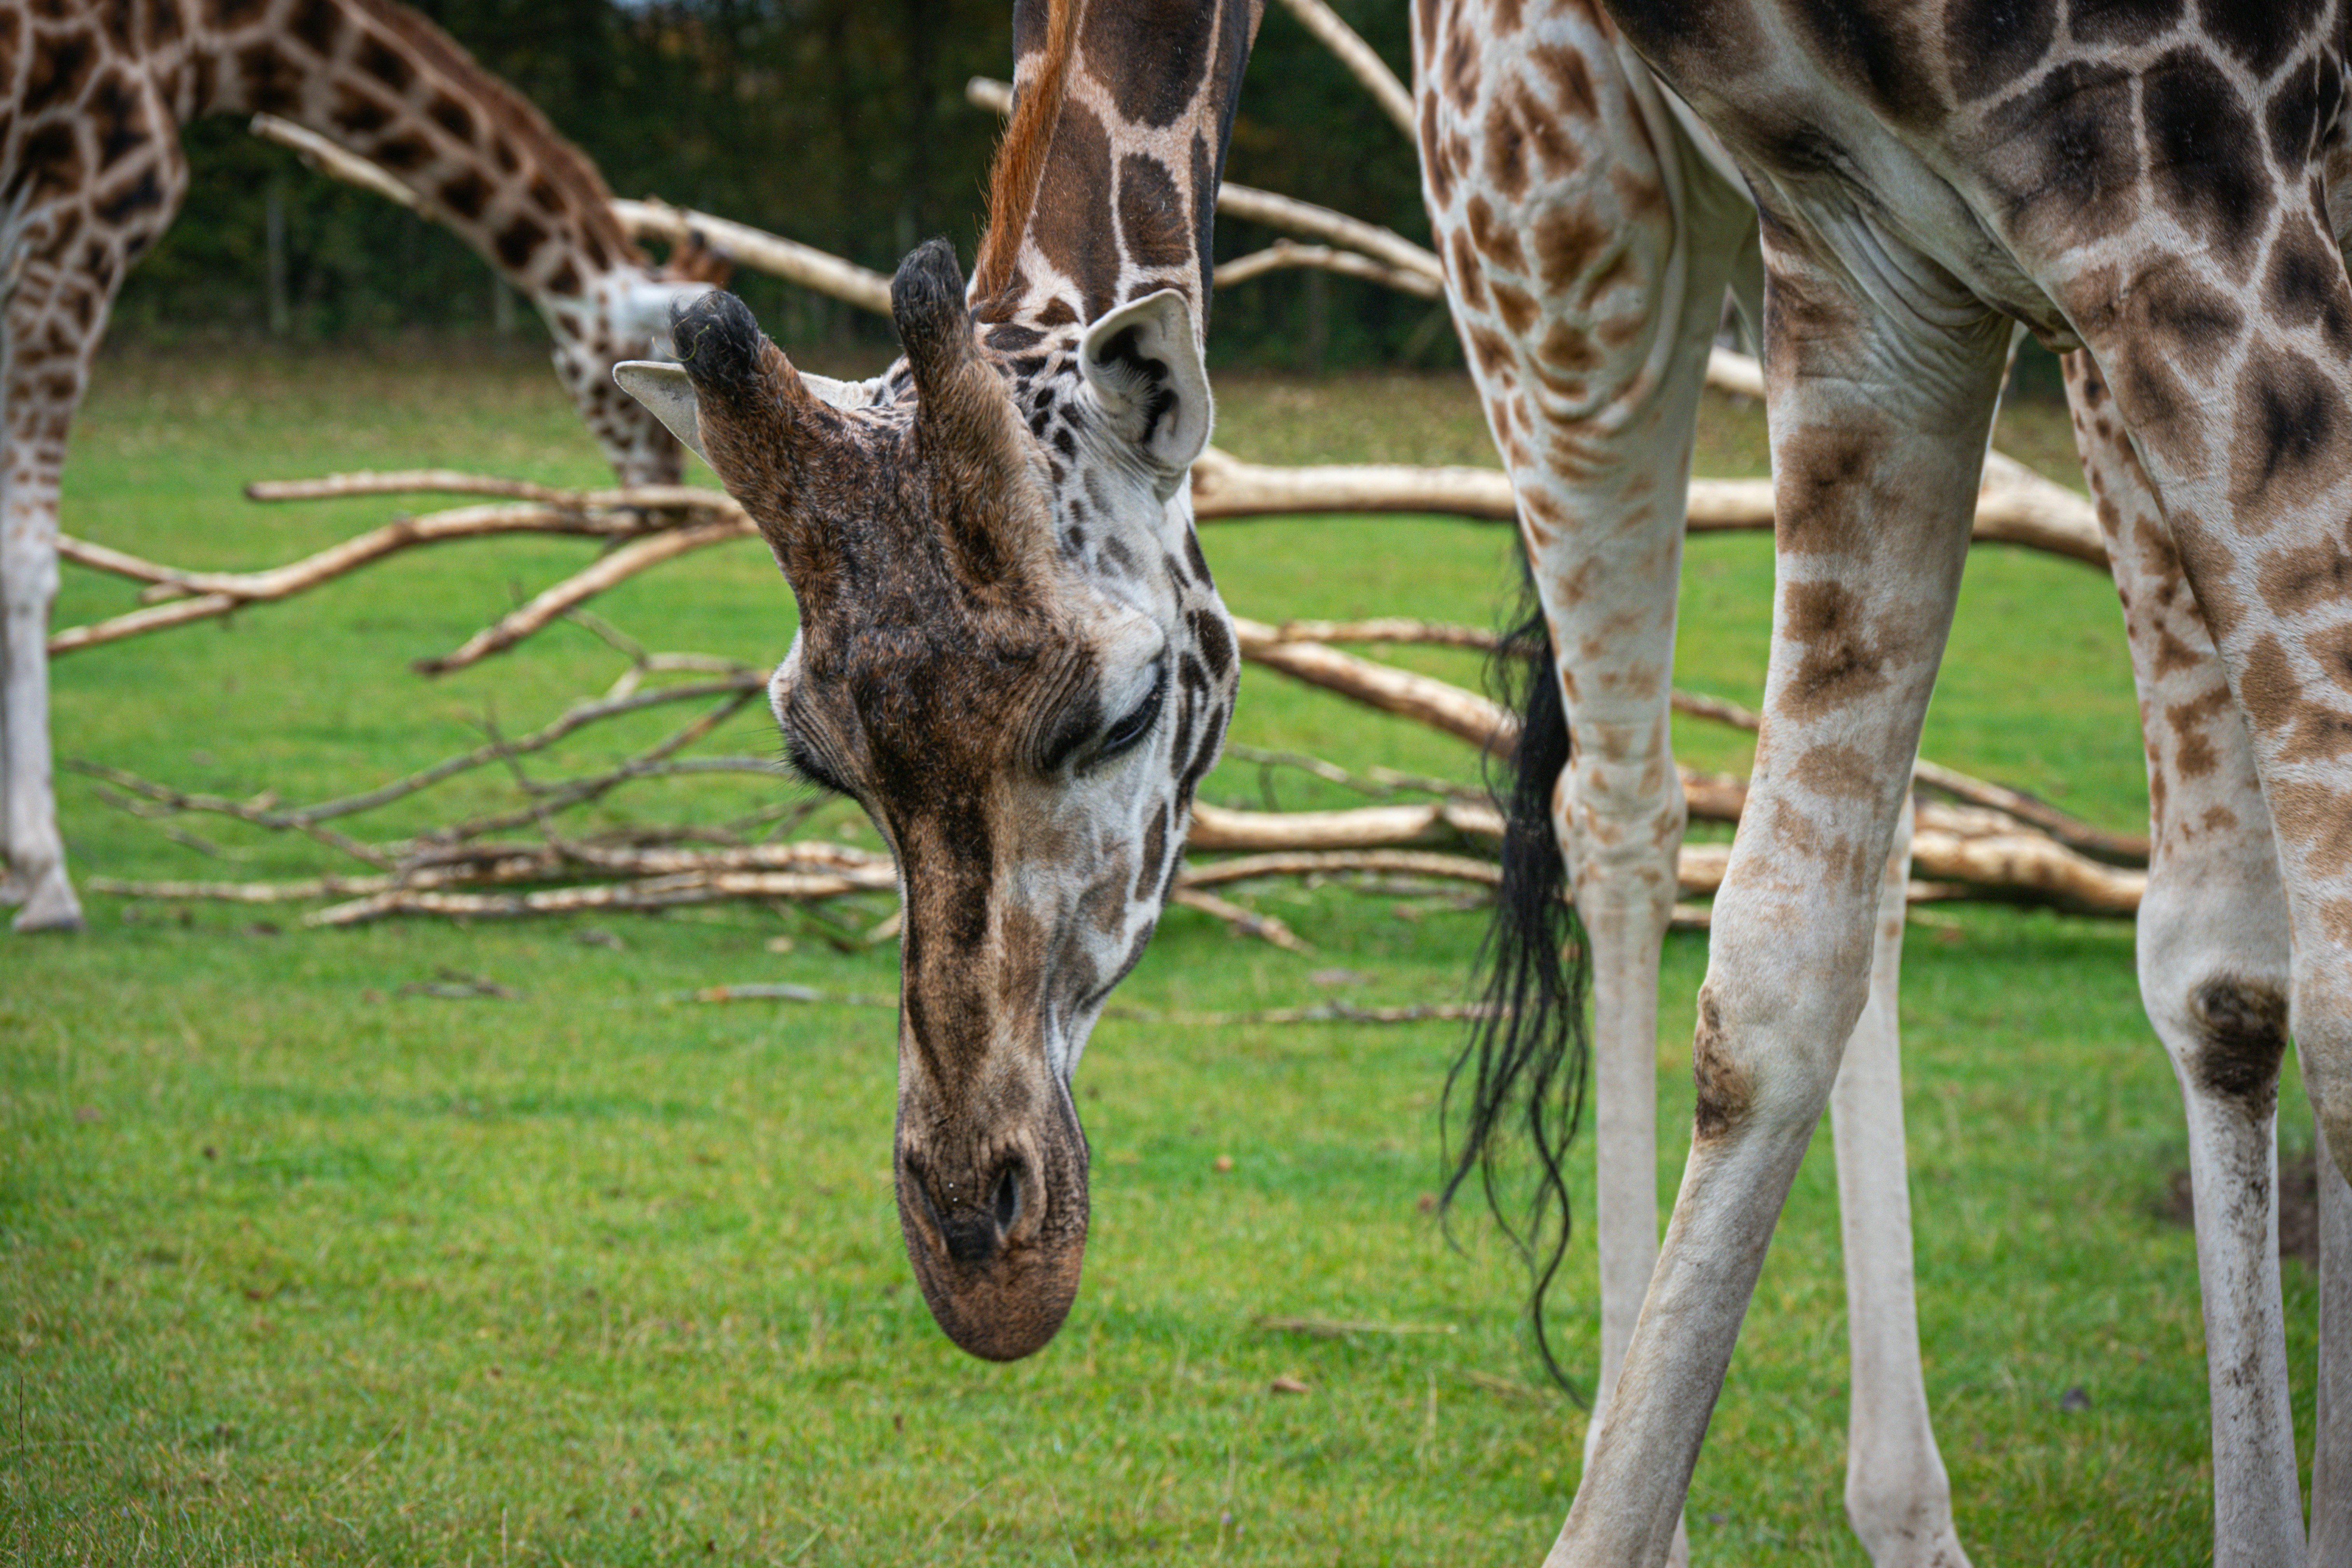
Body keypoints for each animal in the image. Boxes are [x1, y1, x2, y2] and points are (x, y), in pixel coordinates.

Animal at [0, 0, 715, 934]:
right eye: (646, 367)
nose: (668, 502)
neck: (213, 42)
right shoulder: (79, 222)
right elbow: (25, 561)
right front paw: (43, 881)